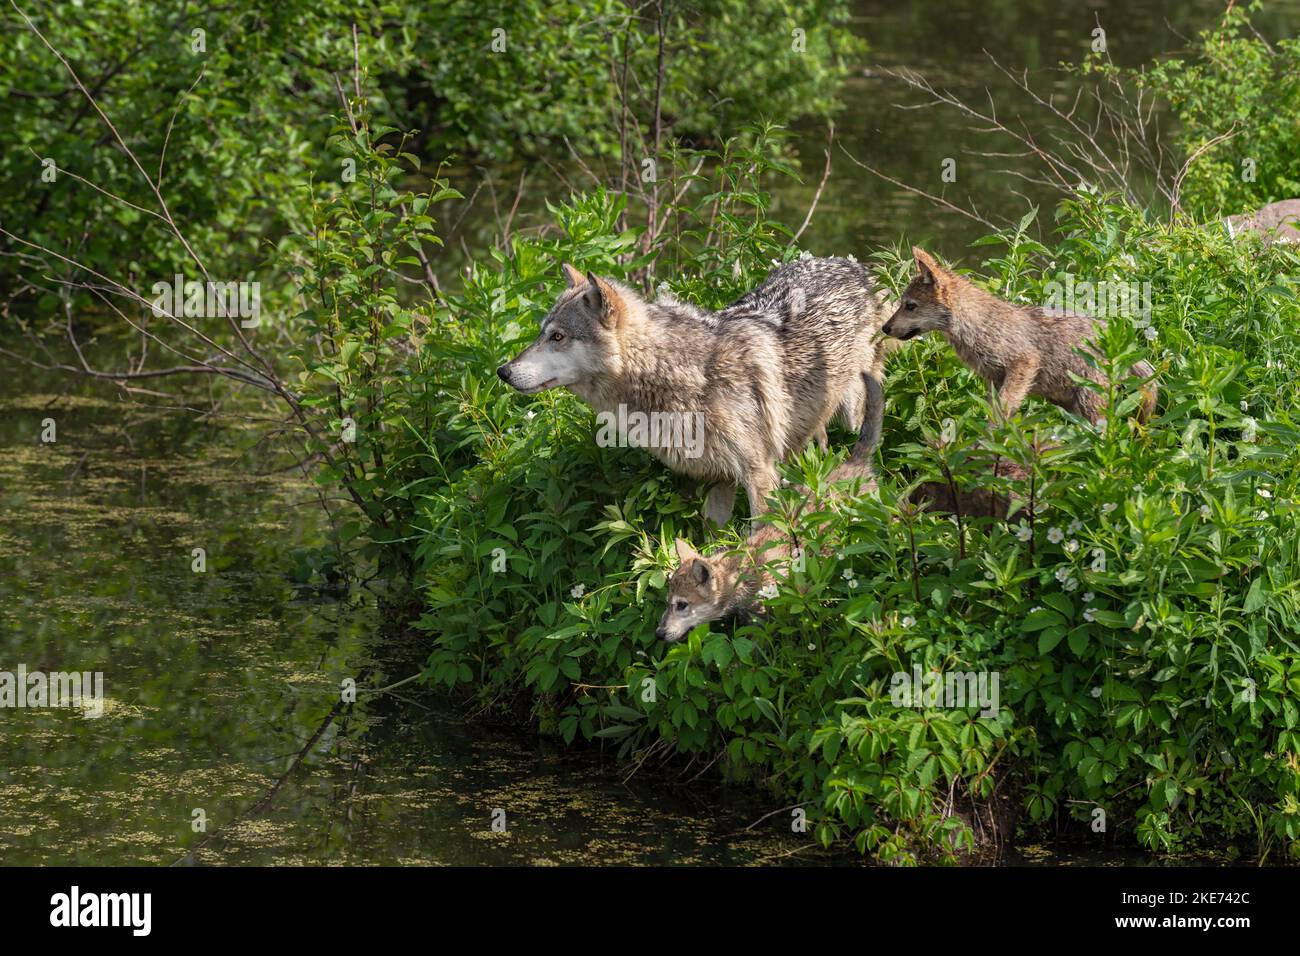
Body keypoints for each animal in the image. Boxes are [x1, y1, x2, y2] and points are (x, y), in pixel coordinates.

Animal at [498, 257, 893, 525]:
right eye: (542, 333)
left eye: (558, 337)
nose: (503, 371)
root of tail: (855, 266)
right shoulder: (718, 476)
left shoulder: (758, 473)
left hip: (852, 413)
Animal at [881, 248, 1157, 425]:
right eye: (903, 304)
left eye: (910, 306)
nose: (884, 328)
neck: (976, 326)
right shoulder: (993, 379)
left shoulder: (1023, 362)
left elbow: (1001, 412)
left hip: (1089, 399)